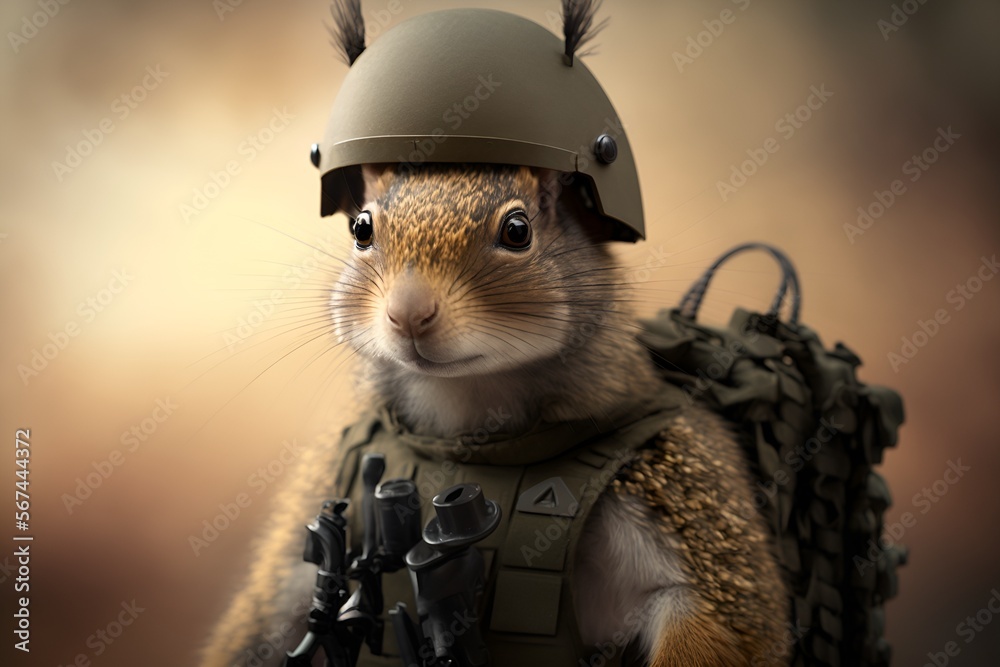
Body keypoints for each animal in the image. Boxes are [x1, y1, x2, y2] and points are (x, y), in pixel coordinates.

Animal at [200, 163, 791, 667]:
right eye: (360, 227)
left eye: (517, 231)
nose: (408, 313)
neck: (466, 417)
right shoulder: (328, 481)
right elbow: (270, 611)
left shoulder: (674, 482)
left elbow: (724, 620)